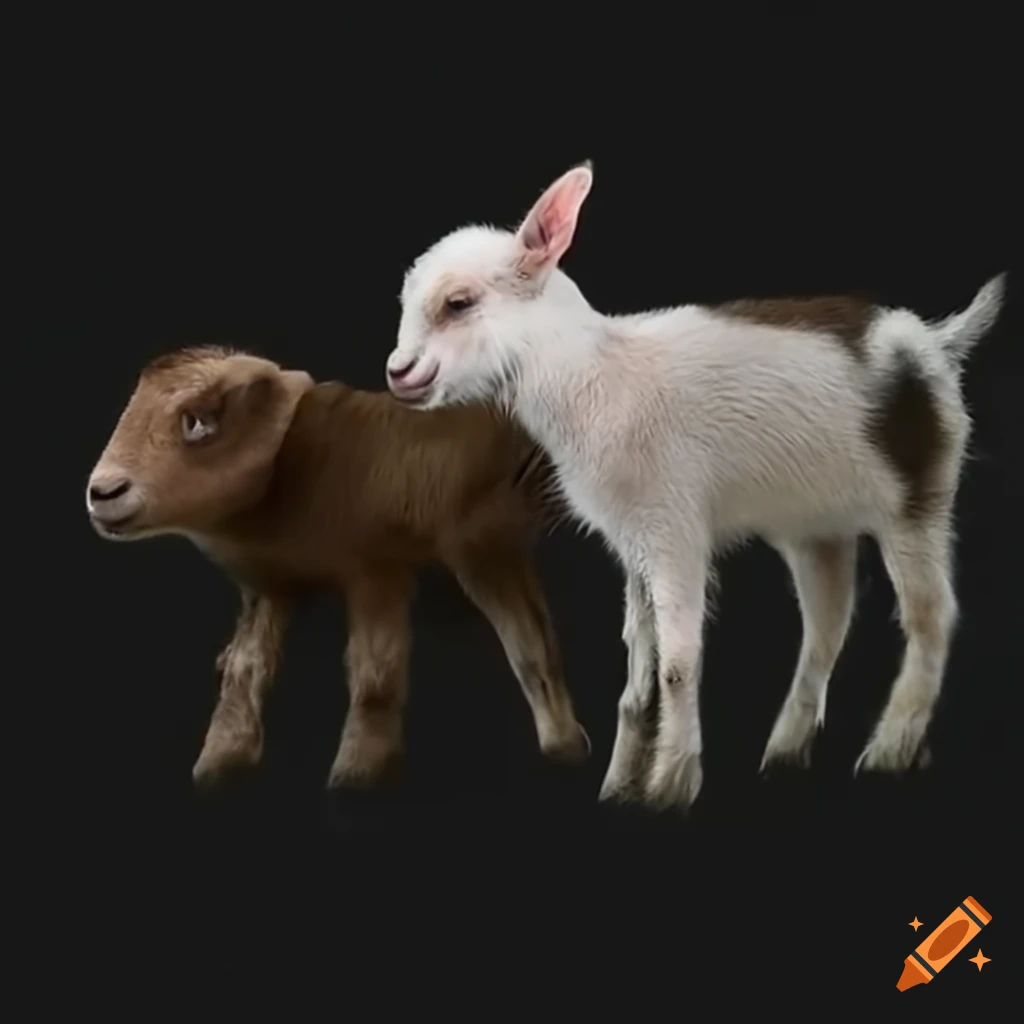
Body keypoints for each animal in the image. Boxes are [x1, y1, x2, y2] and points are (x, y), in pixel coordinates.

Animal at [85, 345, 589, 792]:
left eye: (199, 422)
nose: (102, 492)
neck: (304, 466)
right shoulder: (273, 583)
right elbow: (246, 667)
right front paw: (222, 760)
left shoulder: (384, 568)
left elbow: (377, 674)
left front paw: (356, 774)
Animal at [384, 161, 1006, 813]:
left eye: (459, 303)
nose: (399, 373)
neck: (593, 377)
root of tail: (936, 342)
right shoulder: (632, 542)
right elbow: (636, 676)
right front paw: (618, 786)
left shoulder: (675, 527)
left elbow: (679, 661)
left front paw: (669, 788)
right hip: (816, 527)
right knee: (829, 620)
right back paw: (786, 753)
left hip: (921, 498)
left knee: (932, 616)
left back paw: (889, 753)